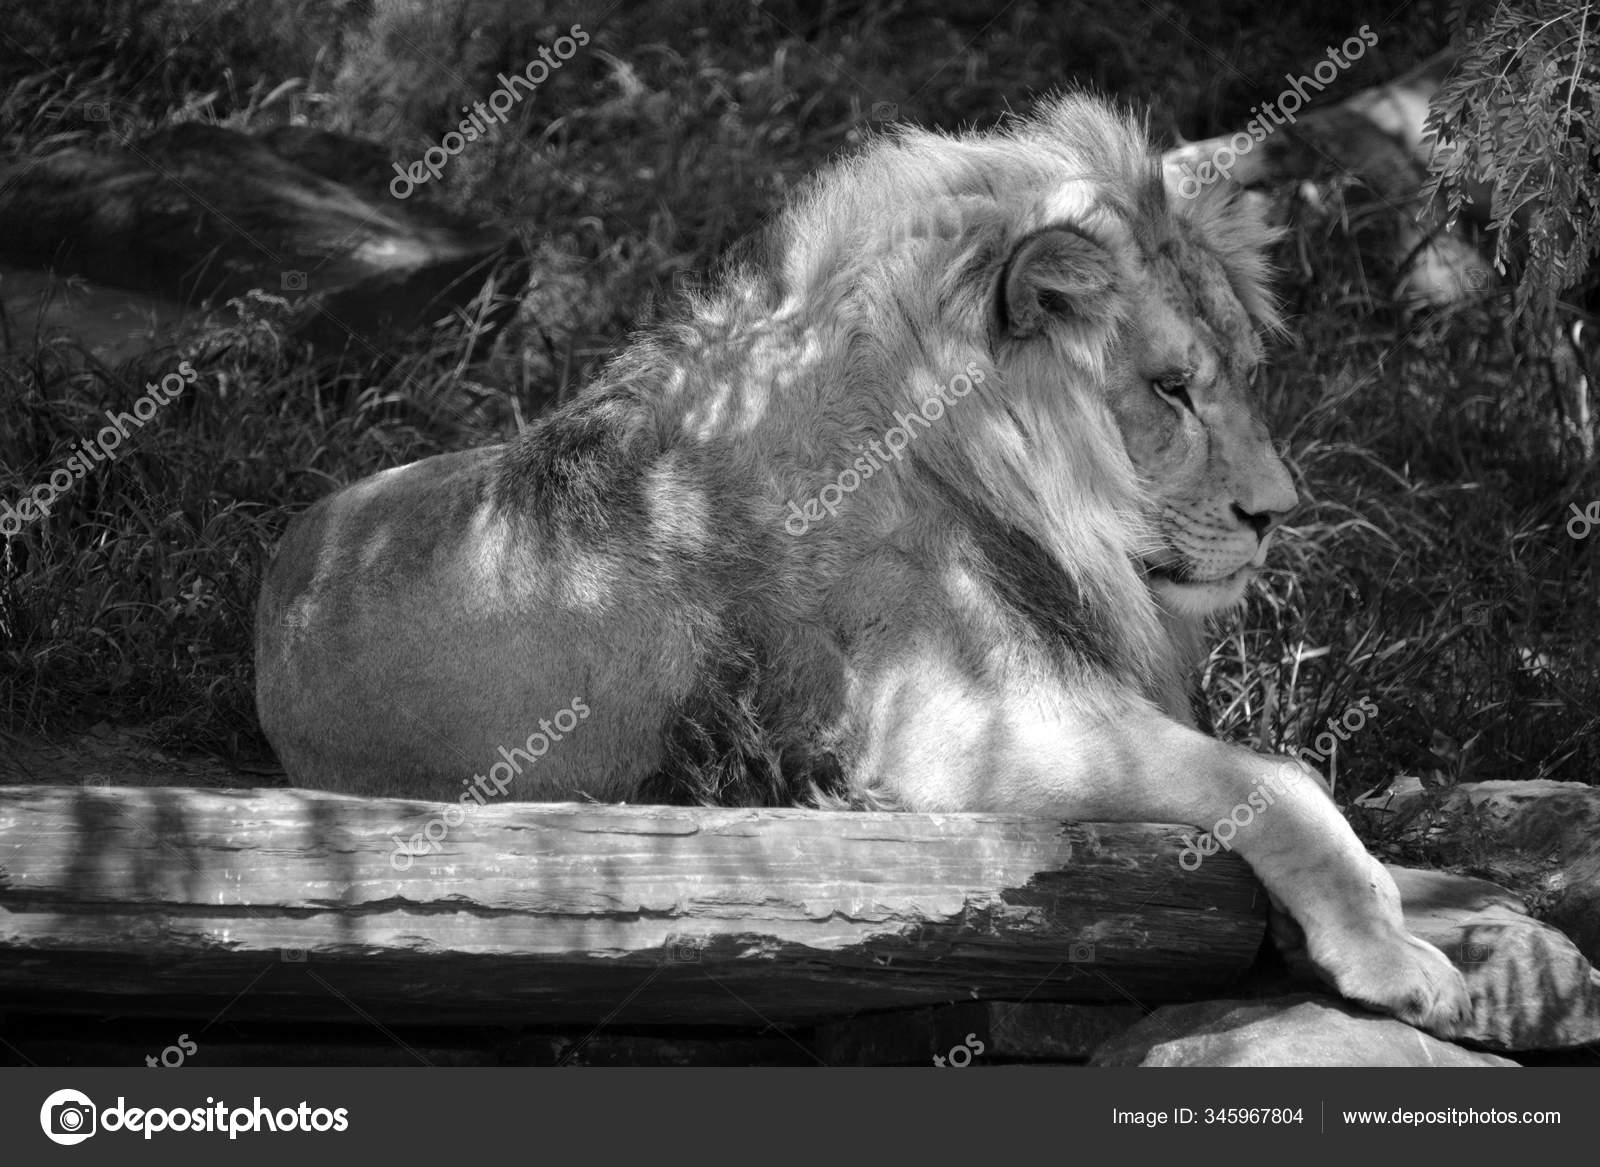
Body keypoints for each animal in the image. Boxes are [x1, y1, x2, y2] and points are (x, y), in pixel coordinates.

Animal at [255, 93, 1471, 1036]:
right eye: (1170, 388)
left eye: (1245, 372)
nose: (1278, 513)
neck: (968, 459)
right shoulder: (966, 735)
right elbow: (1278, 777)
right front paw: (1395, 956)